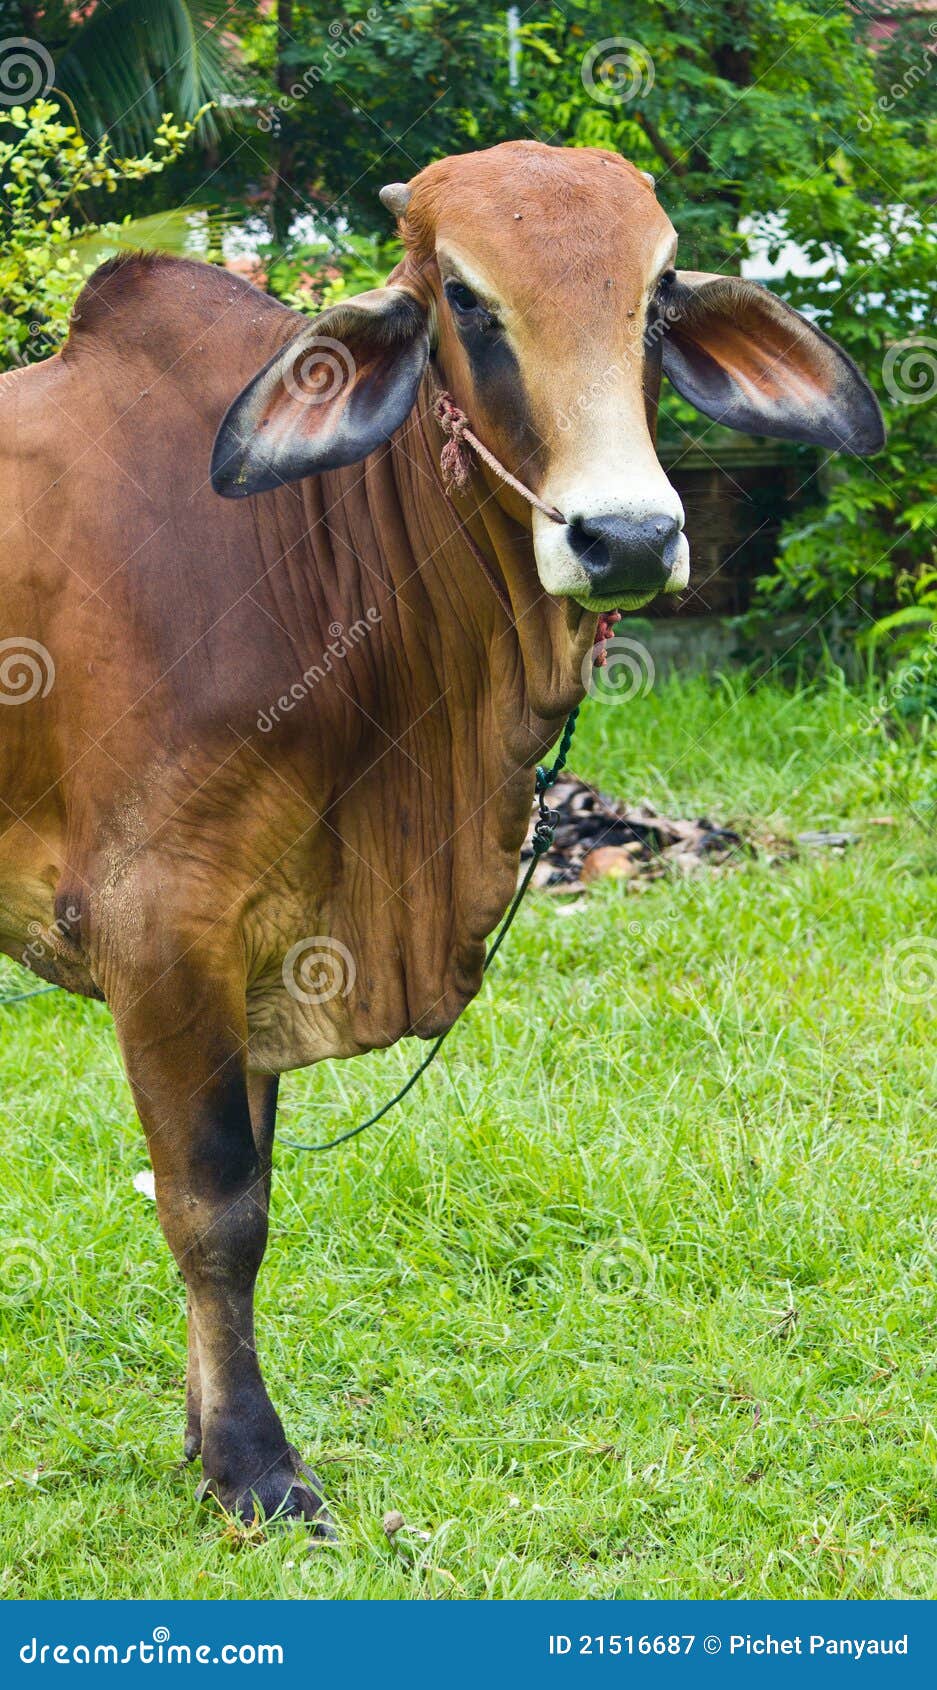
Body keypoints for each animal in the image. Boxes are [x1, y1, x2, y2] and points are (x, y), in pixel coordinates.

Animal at [0, 141, 883, 1532]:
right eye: (466, 299)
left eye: (657, 290)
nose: (627, 537)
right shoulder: (160, 922)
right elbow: (214, 1204)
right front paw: (257, 1468)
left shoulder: (263, 937)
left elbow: (250, 1186)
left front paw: (203, 1445)